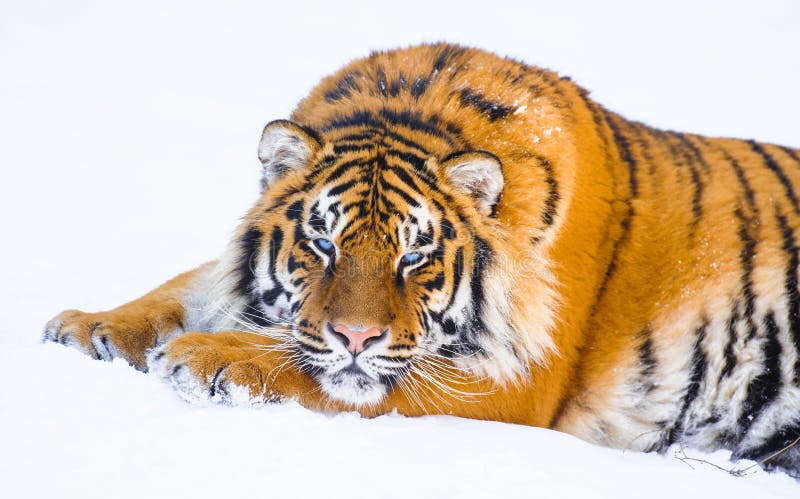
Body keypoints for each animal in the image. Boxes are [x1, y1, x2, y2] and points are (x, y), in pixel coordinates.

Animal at [43, 43, 800, 477]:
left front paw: (208, 356)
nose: (356, 335)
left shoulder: (512, 383)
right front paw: (89, 328)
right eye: (324, 243)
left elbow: (328, 374)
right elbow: (192, 282)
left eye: (415, 256)